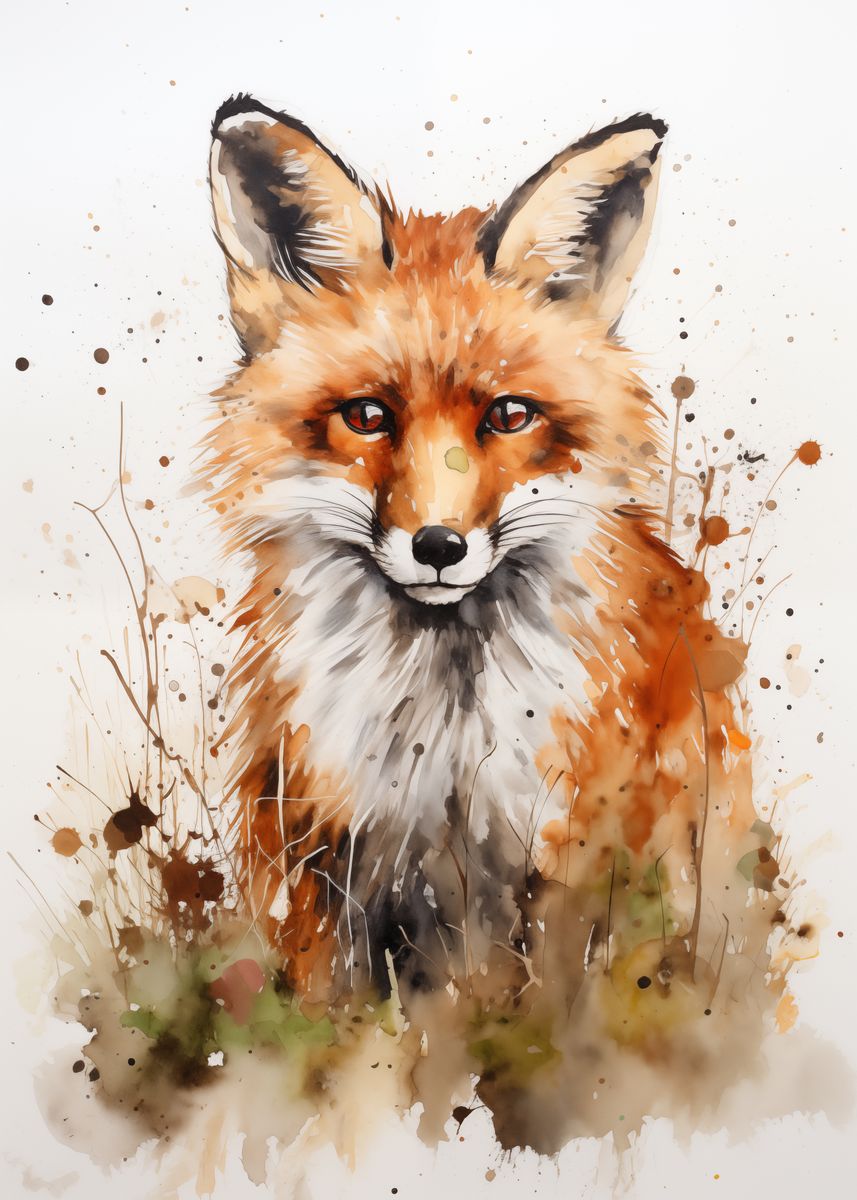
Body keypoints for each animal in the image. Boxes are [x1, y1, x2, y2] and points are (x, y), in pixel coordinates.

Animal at [204, 95, 767, 1018]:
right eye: (366, 416)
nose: (438, 546)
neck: (440, 737)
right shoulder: (323, 855)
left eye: (507, 414)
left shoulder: (560, 863)